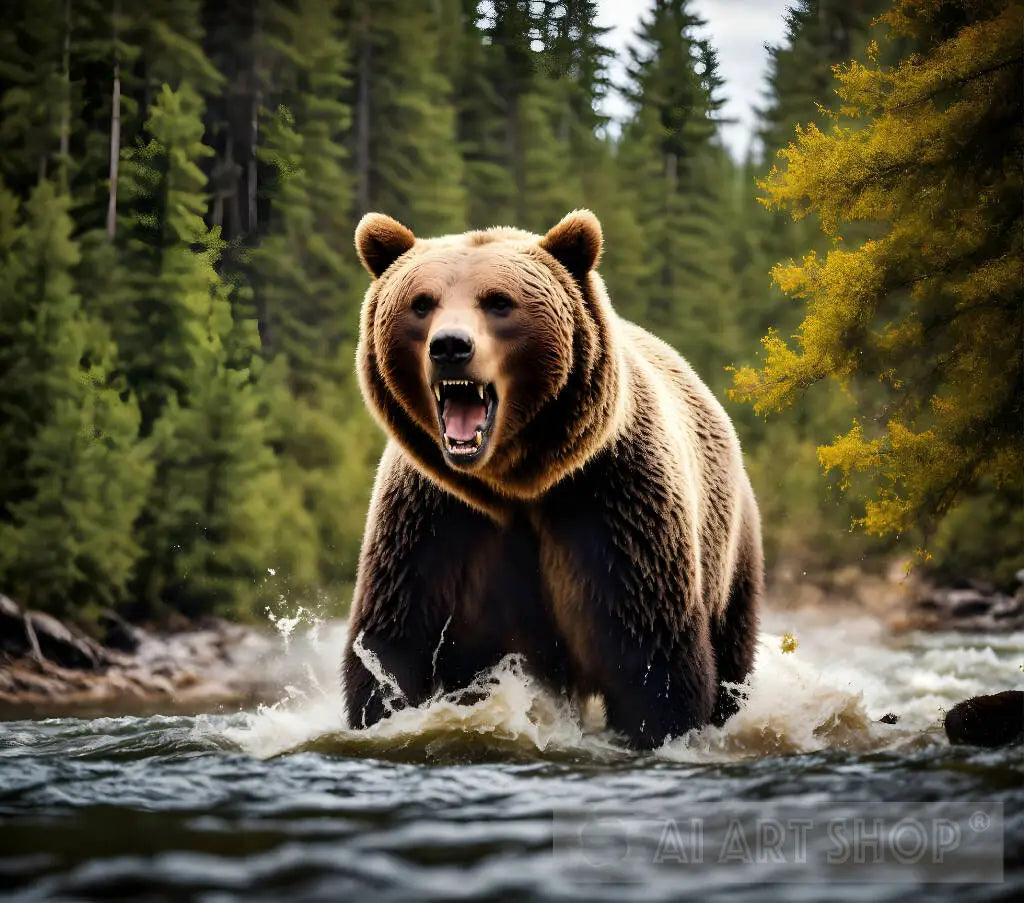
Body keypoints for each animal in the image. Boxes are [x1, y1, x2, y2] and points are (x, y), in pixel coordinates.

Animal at [342, 209, 763, 749]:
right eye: (421, 303)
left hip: (729, 552)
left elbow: (653, 663)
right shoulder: (432, 523)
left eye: (499, 301)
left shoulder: (613, 509)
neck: (514, 484)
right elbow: (391, 650)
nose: (450, 346)